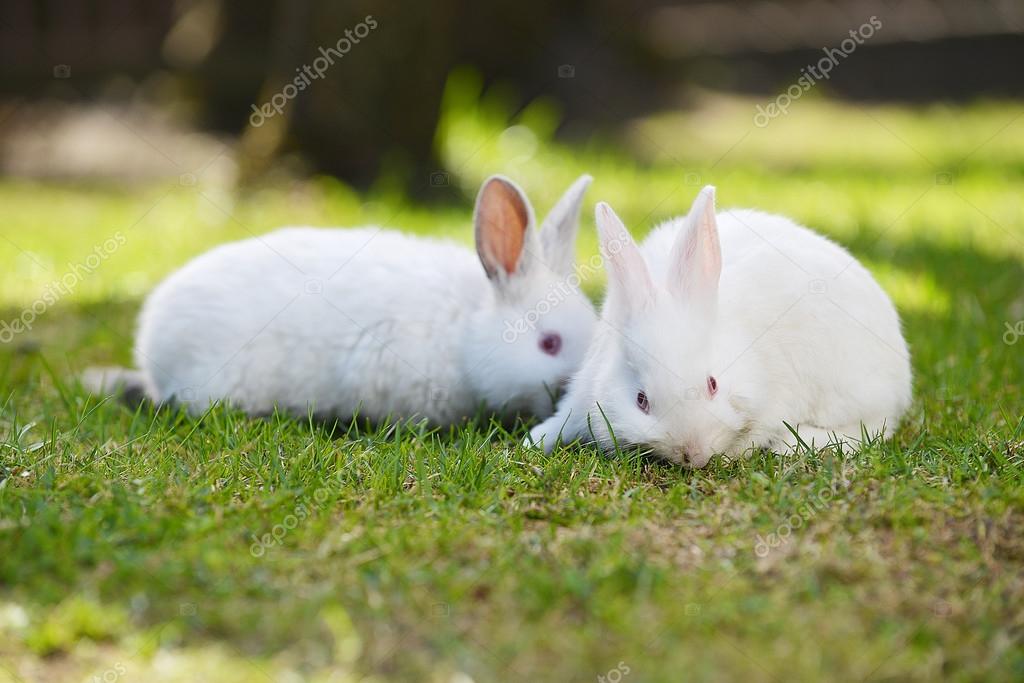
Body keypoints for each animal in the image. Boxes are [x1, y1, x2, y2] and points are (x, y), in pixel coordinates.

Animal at [526, 186, 912, 467]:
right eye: (641, 401)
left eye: (713, 384)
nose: (694, 456)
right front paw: (534, 441)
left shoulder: (774, 402)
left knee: (872, 426)